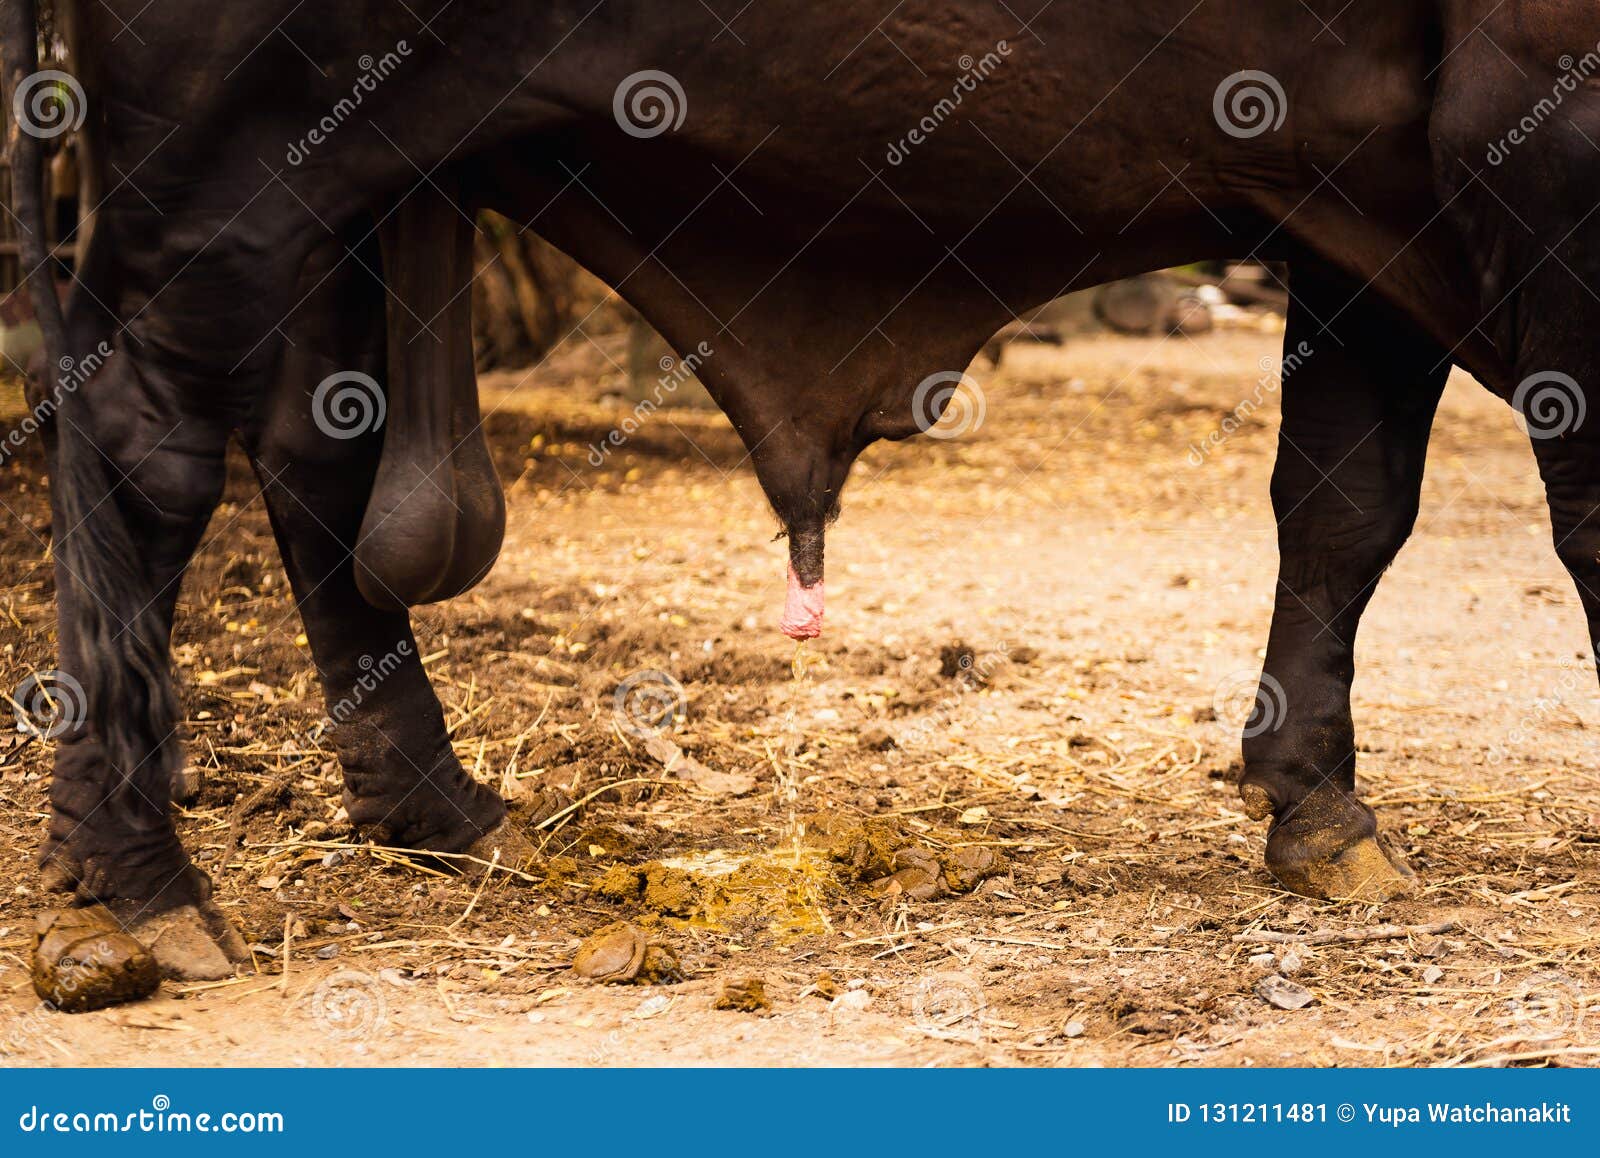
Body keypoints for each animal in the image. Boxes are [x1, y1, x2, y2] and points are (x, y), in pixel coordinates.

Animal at [4, 0, 1596, 979]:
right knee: (145, 445)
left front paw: (1317, 806)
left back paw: (434, 805)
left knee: (310, 451)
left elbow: (1341, 507)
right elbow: (1576, 519)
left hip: (342, 186)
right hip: (230, 165)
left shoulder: (1357, 202)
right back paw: (136, 880)